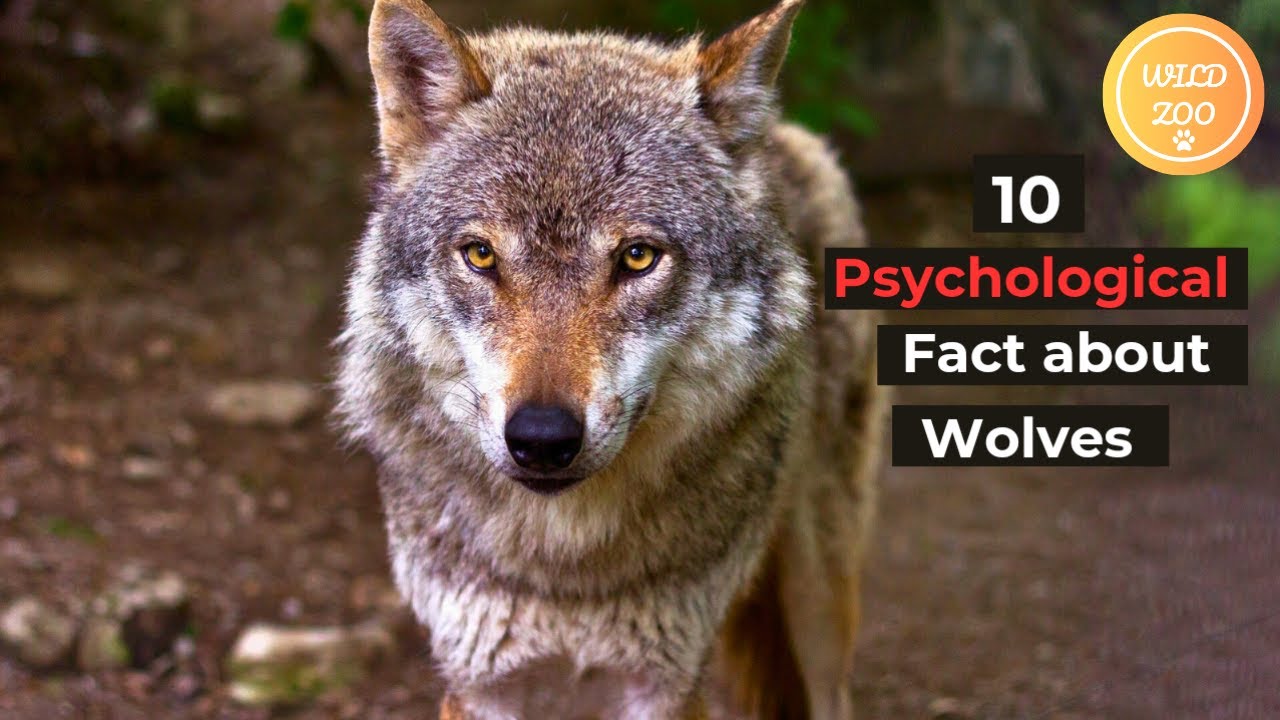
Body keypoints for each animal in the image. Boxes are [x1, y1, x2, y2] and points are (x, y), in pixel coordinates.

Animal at [335, 0, 886, 717]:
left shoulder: (665, 682)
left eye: (637, 257)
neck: (568, 568)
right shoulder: (479, 681)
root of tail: (784, 137)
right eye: (480, 255)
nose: (542, 438)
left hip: (818, 603)